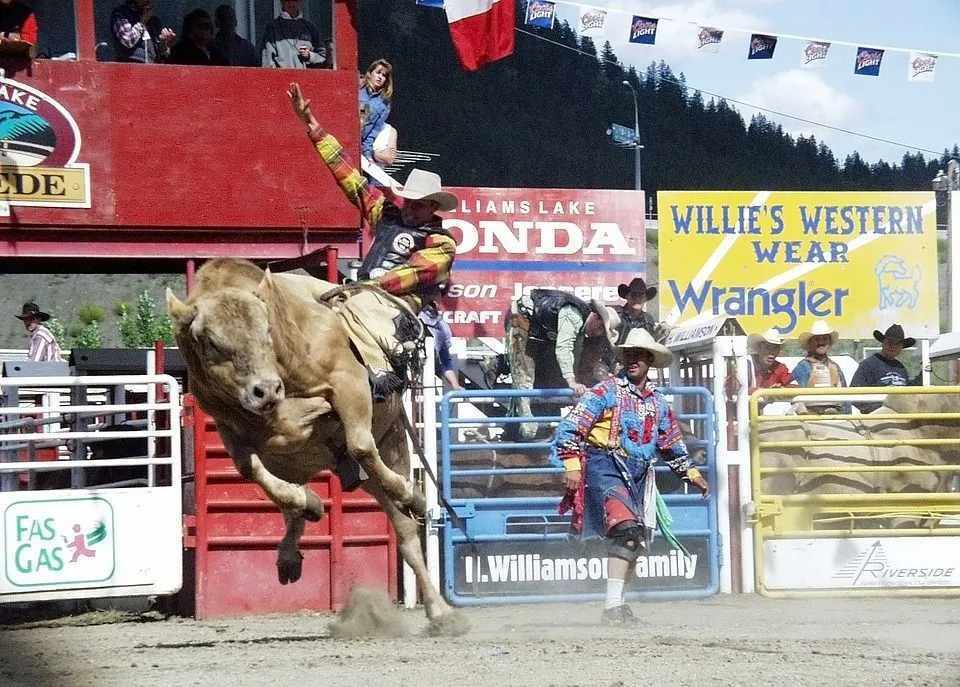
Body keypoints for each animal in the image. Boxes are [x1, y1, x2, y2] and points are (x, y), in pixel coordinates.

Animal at [168, 260, 468, 636]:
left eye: (266, 330)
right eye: (210, 342)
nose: (265, 390)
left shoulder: (348, 382)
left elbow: (359, 444)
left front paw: (409, 493)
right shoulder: (228, 426)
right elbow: (250, 469)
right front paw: (307, 503)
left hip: (393, 444)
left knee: (404, 530)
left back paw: (438, 605)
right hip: (329, 469)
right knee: (293, 500)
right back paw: (290, 548)